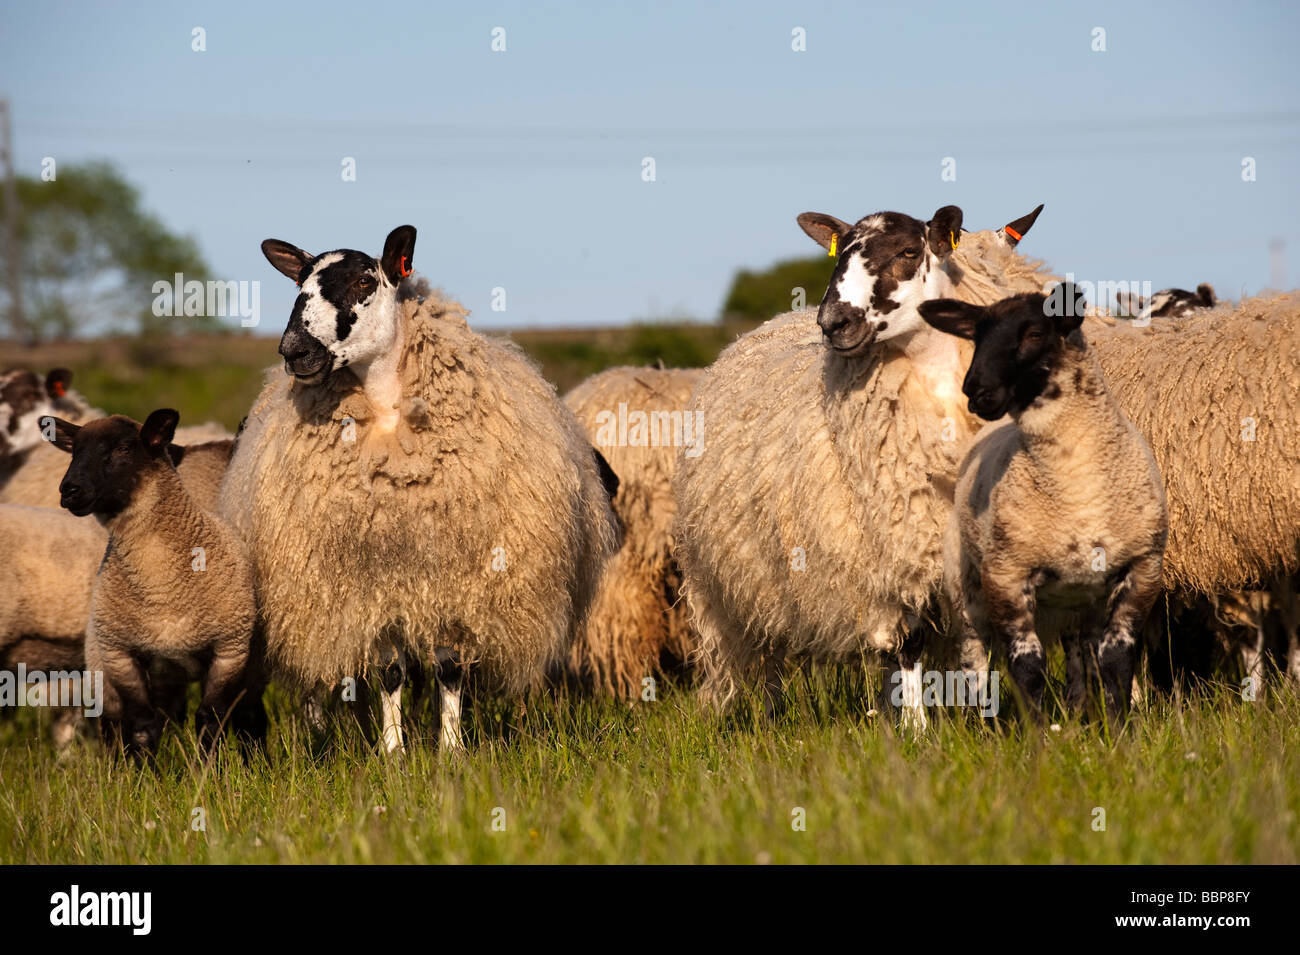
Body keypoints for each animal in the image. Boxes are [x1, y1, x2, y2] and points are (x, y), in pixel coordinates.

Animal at [48, 409, 261, 756]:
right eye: (74, 451)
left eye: (123, 448)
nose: (69, 490)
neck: (162, 587)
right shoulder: (121, 655)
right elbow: (142, 726)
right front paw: (146, 771)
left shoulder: (230, 650)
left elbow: (210, 720)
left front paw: (207, 769)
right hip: (113, 668)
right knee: (116, 723)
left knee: (249, 715)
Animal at [220, 224, 619, 753]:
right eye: (299, 284)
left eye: (365, 281)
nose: (294, 350)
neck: (390, 416)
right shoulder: (376, 581)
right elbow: (390, 671)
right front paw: (394, 751)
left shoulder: (451, 574)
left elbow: (448, 668)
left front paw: (450, 748)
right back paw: (324, 729)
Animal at [675, 204, 1056, 724]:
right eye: (840, 256)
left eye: (910, 252)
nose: (833, 322)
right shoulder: (896, 547)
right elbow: (909, 641)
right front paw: (917, 727)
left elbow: (972, 633)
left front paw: (984, 716)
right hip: (735, 580)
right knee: (760, 653)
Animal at [918, 285, 1168, 724]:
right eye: (977, 336)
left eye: (1035, 333)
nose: (974, 390)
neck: (1076, 486)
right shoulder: (1006, 575)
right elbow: (1027, 667)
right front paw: (1036, 737)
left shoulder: (1142, 569)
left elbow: (1117, 662)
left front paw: (1120, 730)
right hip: (965, 590)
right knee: (976, 663)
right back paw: (987, 726)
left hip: (1079, 601)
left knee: (1080, 655)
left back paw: (1075, 712)